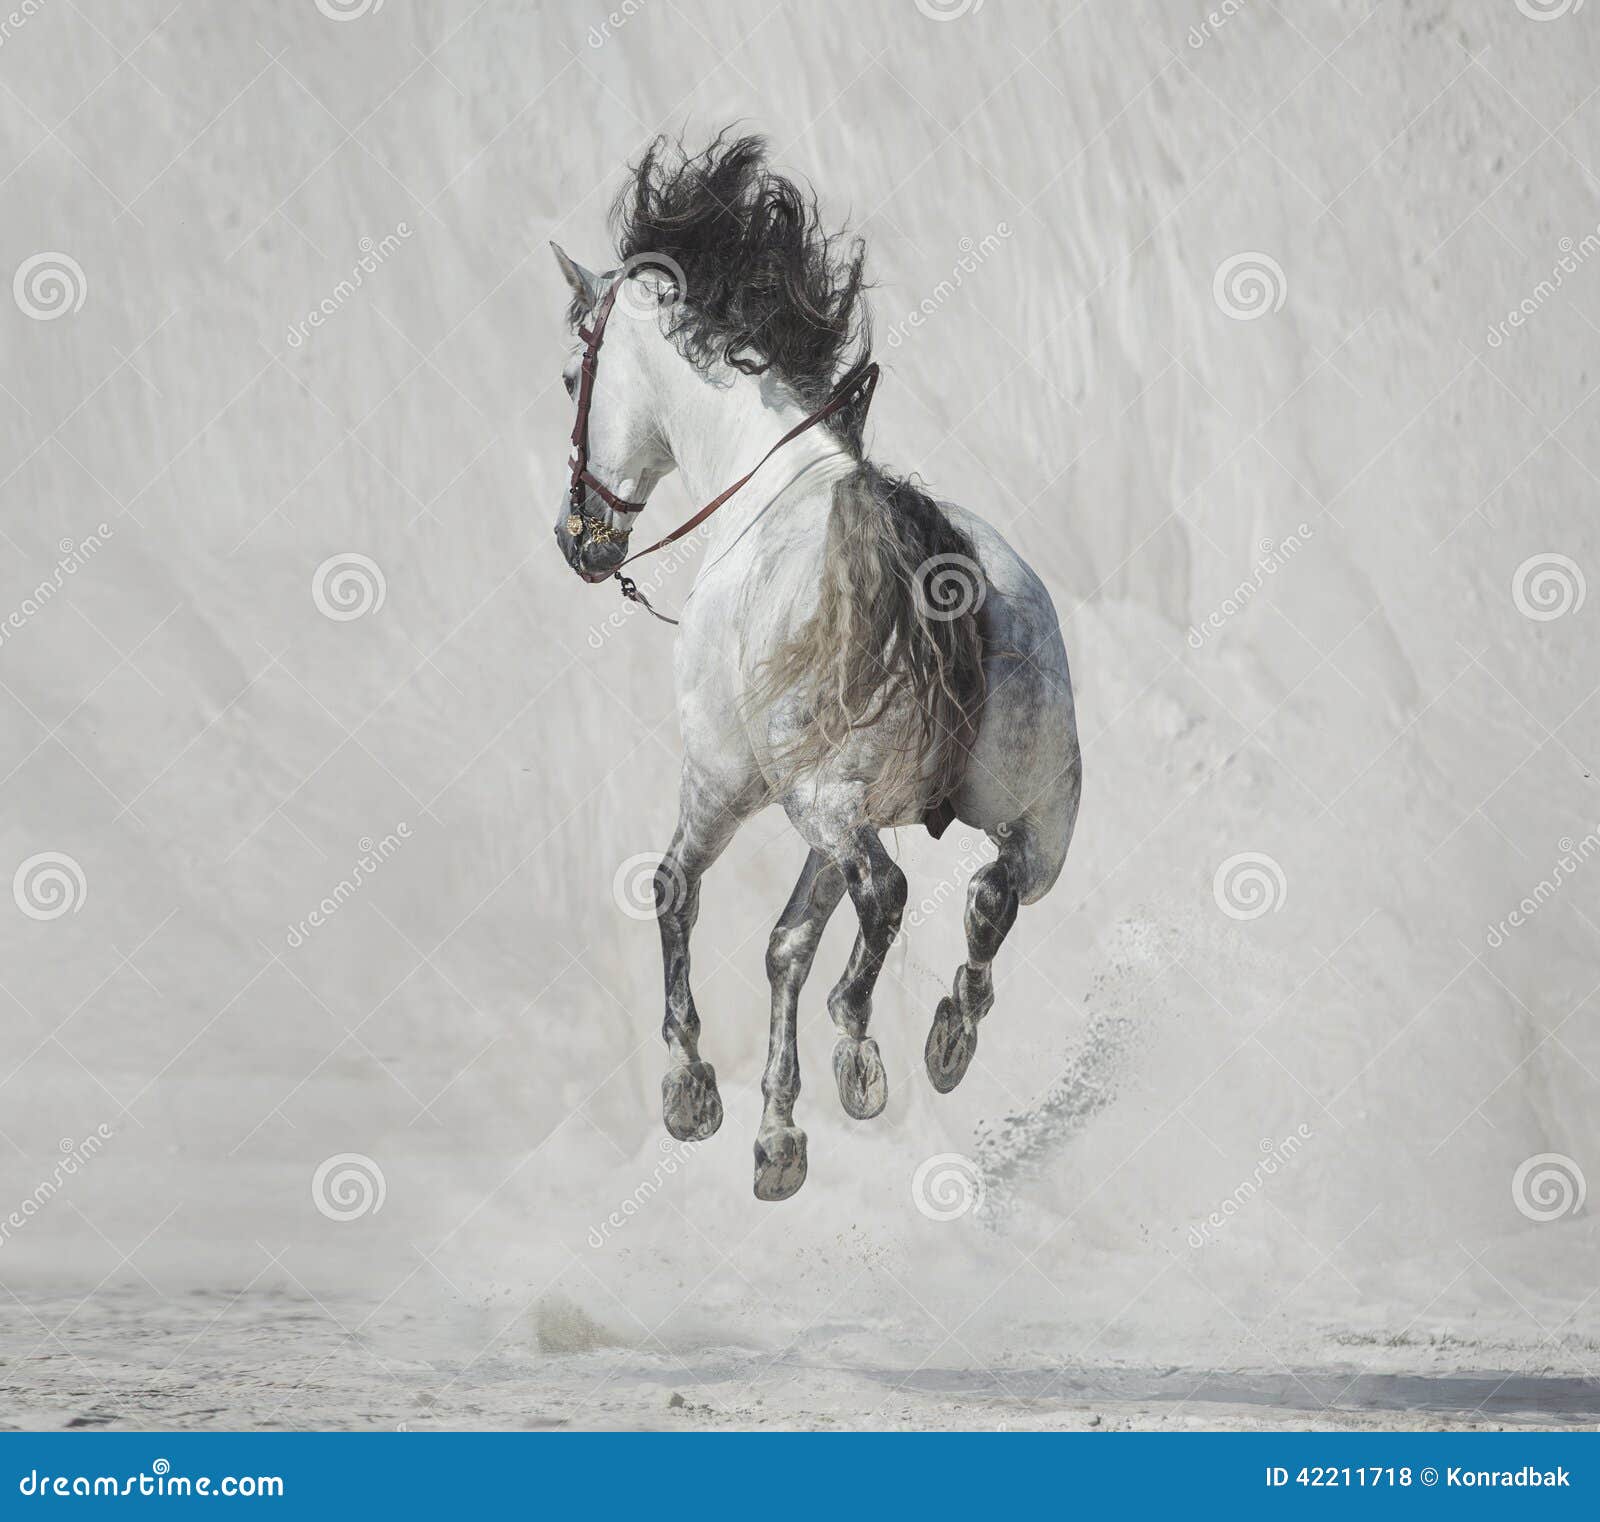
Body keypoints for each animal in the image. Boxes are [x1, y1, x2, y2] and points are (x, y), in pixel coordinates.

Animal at [550, 134, 1081, 1201]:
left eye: (570, 372)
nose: (576, 538)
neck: (771, 481)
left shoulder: (726, 780)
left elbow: (675, 891)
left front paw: (695, 1091)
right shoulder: (831, 815)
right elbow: (787, 943)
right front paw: (778, 1133)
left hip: (821, 802)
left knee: (892, 894)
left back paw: (860, 1048)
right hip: (1032, 817)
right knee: (992, 893)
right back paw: (945, 1037)